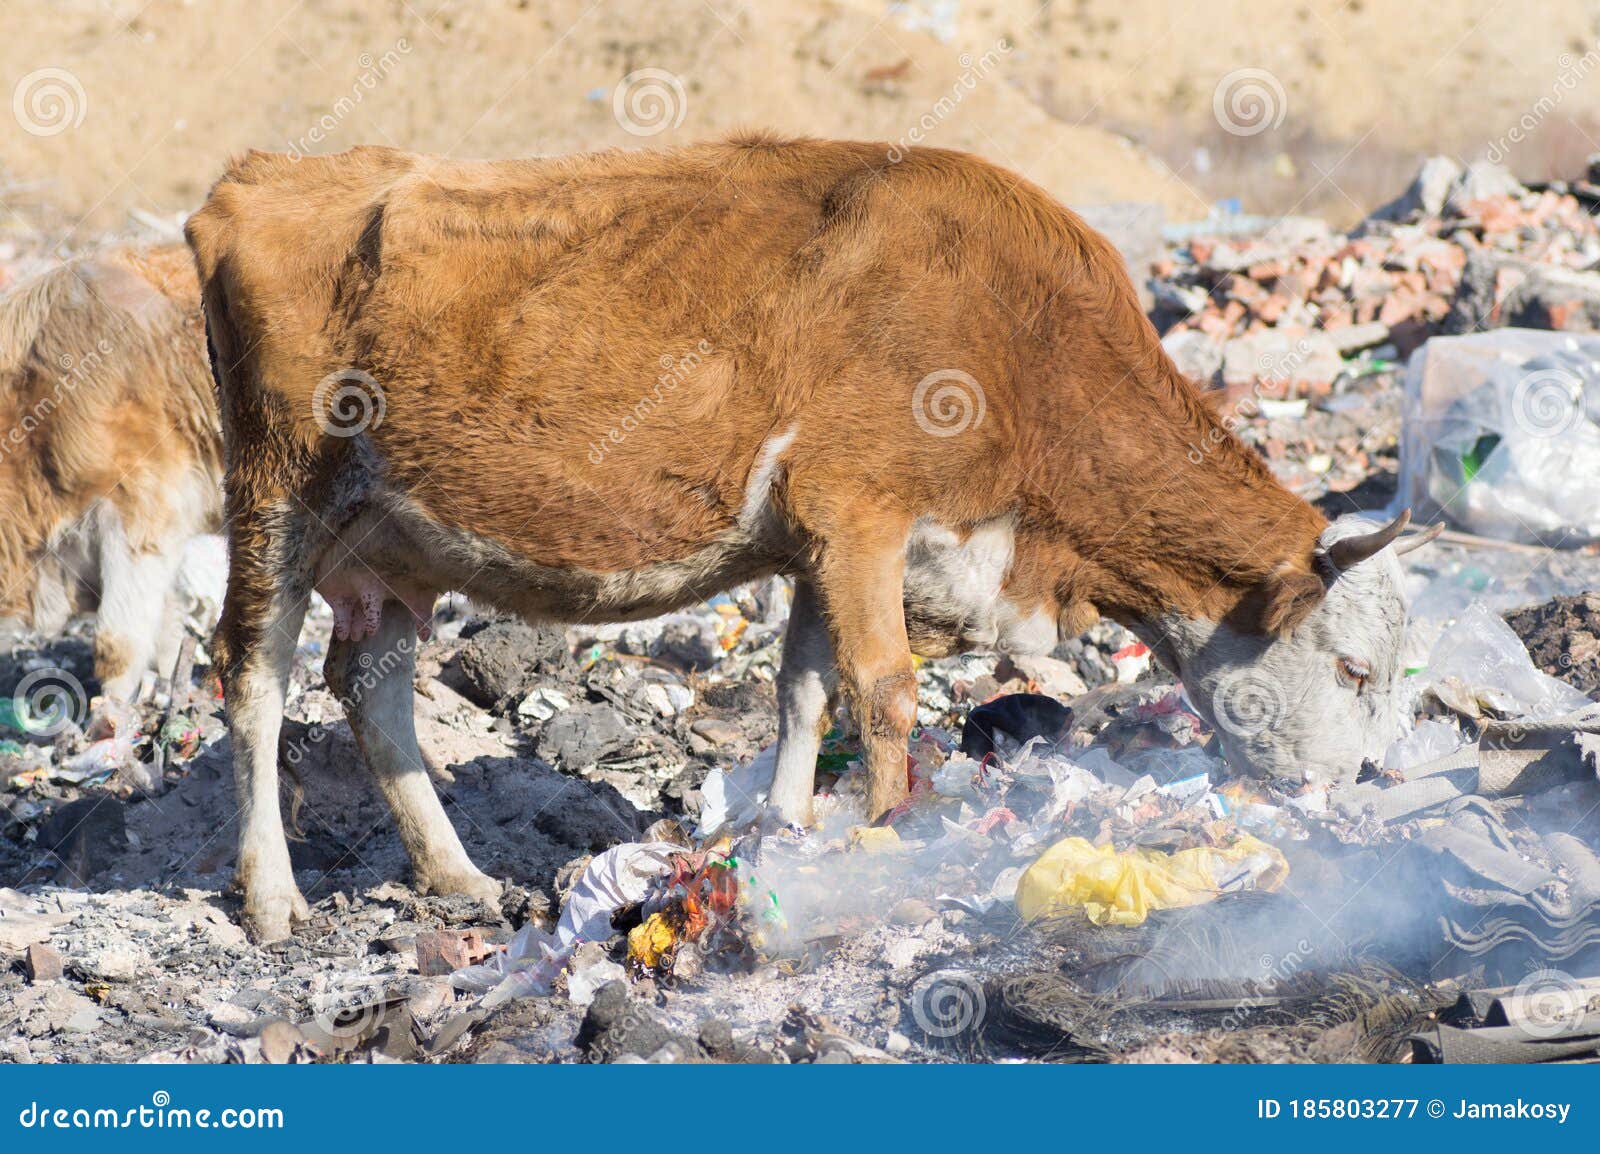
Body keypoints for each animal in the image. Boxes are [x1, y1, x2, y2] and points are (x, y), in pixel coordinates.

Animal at [187, 135, 1436, 942]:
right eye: (1352, 667)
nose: (1361, 789)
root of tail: (265, 175)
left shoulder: (813, 543)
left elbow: (803, 688)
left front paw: (786, 828)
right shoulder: (861, 511)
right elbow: (881, 687)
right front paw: (891, 830)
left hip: (389, 539)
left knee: (373, 679)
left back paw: (457, 871)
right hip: (279, 489)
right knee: (249, 673)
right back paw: (271, 895)